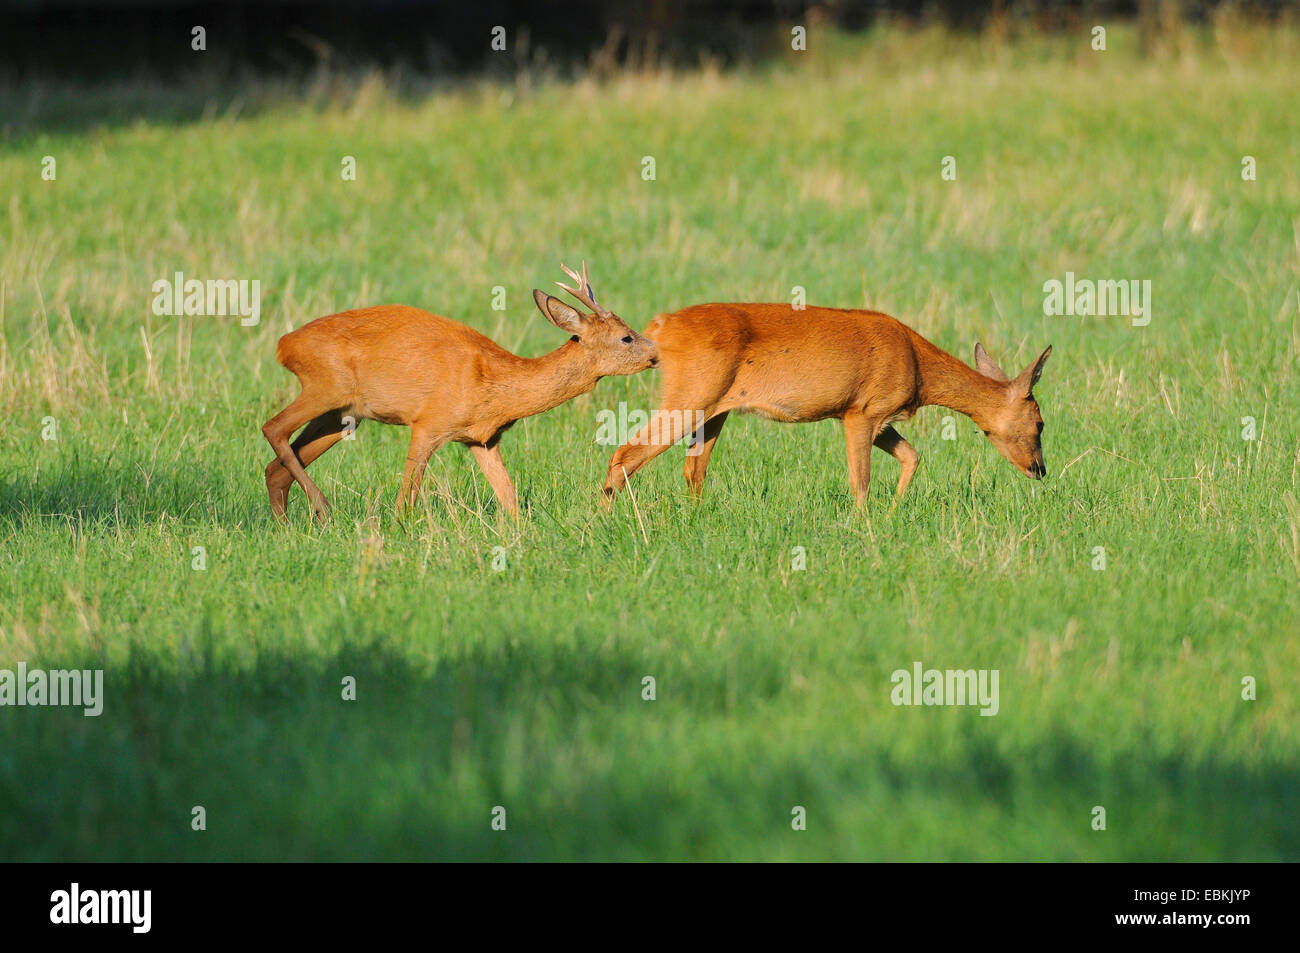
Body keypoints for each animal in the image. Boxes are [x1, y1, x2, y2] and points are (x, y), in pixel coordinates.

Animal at [262, 262, 658, 522]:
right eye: (626, 337)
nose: (656, 353)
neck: (497, 383)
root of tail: (284, 343)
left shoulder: (483, 439)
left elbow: (511, 501)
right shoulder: (428, 424)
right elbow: (405, 500)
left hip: (345, 414)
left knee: (276, 467)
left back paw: (287, 527)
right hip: (325, 386)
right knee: (273, 428)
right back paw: (322, 506)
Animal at [600, 302, 1051, 506]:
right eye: (1041, 423)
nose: (1040, 469)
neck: (918, 365)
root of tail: (660, 327)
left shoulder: (874, 416)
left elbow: (912, 456)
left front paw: (896, 510)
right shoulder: (862, 411)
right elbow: (861, 480)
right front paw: (864, 525)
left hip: (715, 410)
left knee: (693, 470)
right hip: (689, 396)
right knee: (626, 452)